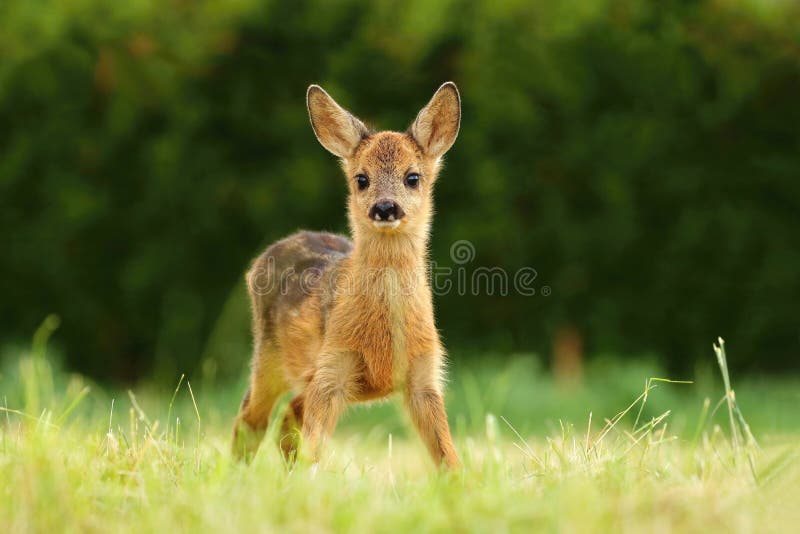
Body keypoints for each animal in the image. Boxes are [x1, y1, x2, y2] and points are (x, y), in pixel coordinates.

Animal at [232, 82, 462, 470]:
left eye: (412, 177)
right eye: (361, 179)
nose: (385, 207)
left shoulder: (424, 374)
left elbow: (447, 452)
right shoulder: (331, 370)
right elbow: (313, 449)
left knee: (286, 418)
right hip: (269, 355)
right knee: (251, 419)